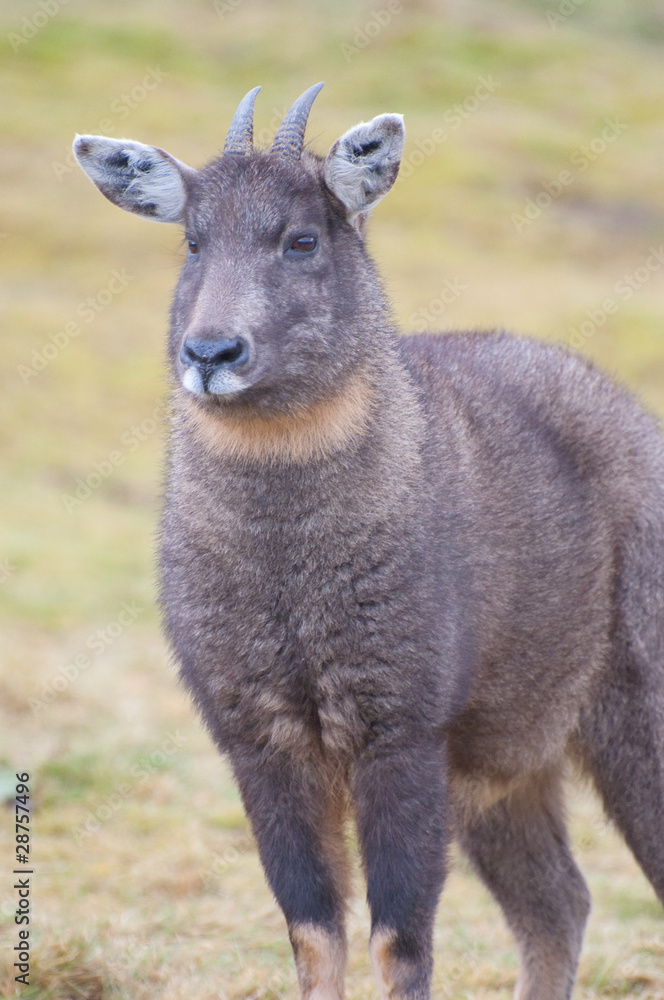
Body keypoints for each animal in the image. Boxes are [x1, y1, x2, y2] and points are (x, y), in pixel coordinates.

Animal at [73, 83, 664, 1000]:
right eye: (193, 238)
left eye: (302, 238)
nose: (211, 351)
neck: (289, 565)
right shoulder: (260, 738)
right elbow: (315, 932)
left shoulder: (403, 730)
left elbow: (400, 940)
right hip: (507, 761)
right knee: (557, 903)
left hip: (631, 705)